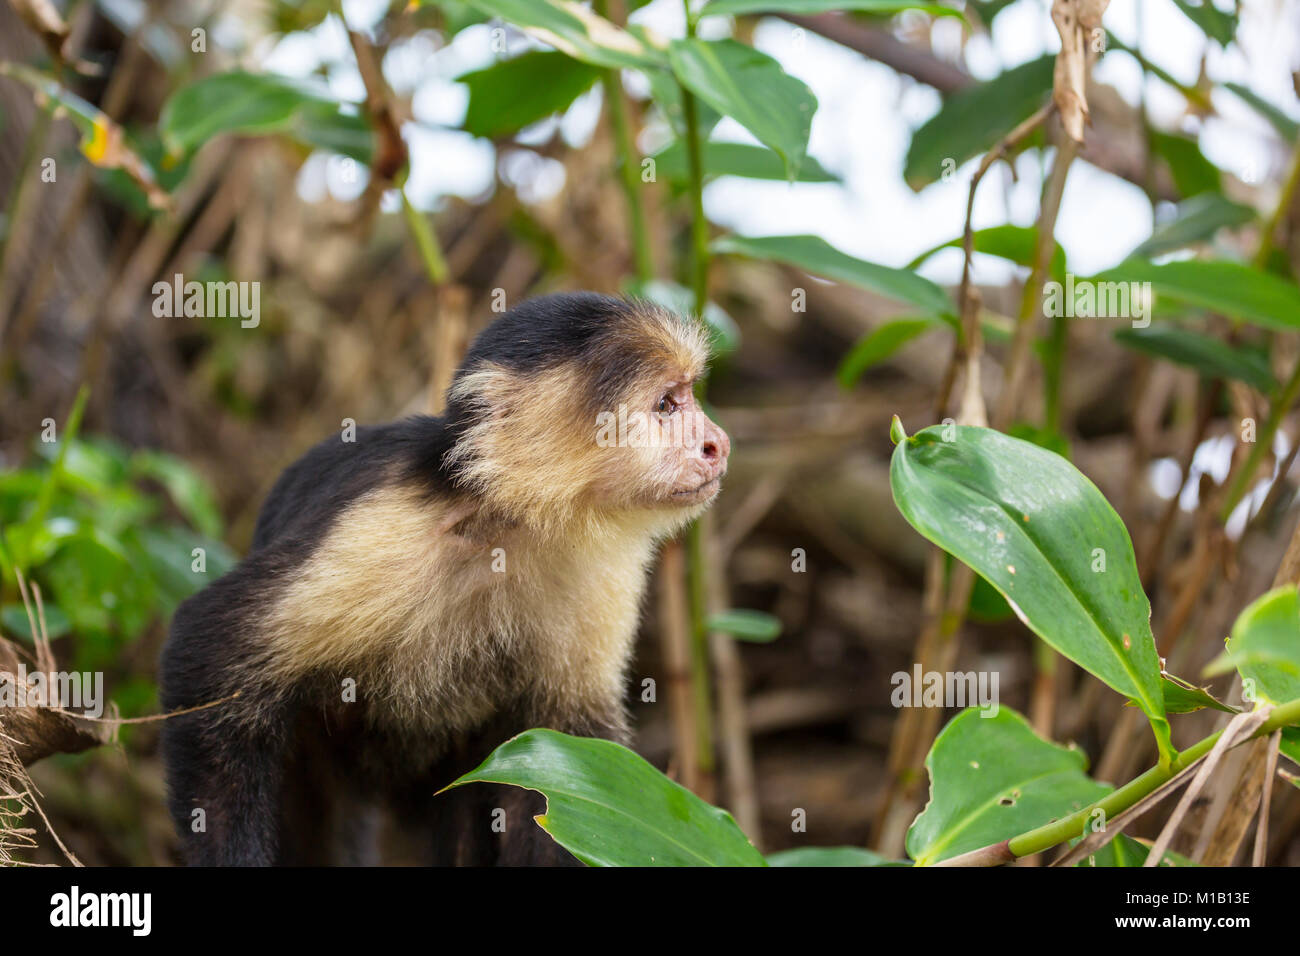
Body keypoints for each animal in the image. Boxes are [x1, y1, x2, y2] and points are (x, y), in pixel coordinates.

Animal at [158, 292, 730, 865]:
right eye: (666, 405)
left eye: (687, 395)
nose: (718, 443)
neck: (512, 525)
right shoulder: (385, 527)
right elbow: (209, 654)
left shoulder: (601, 570)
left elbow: (564, 770)